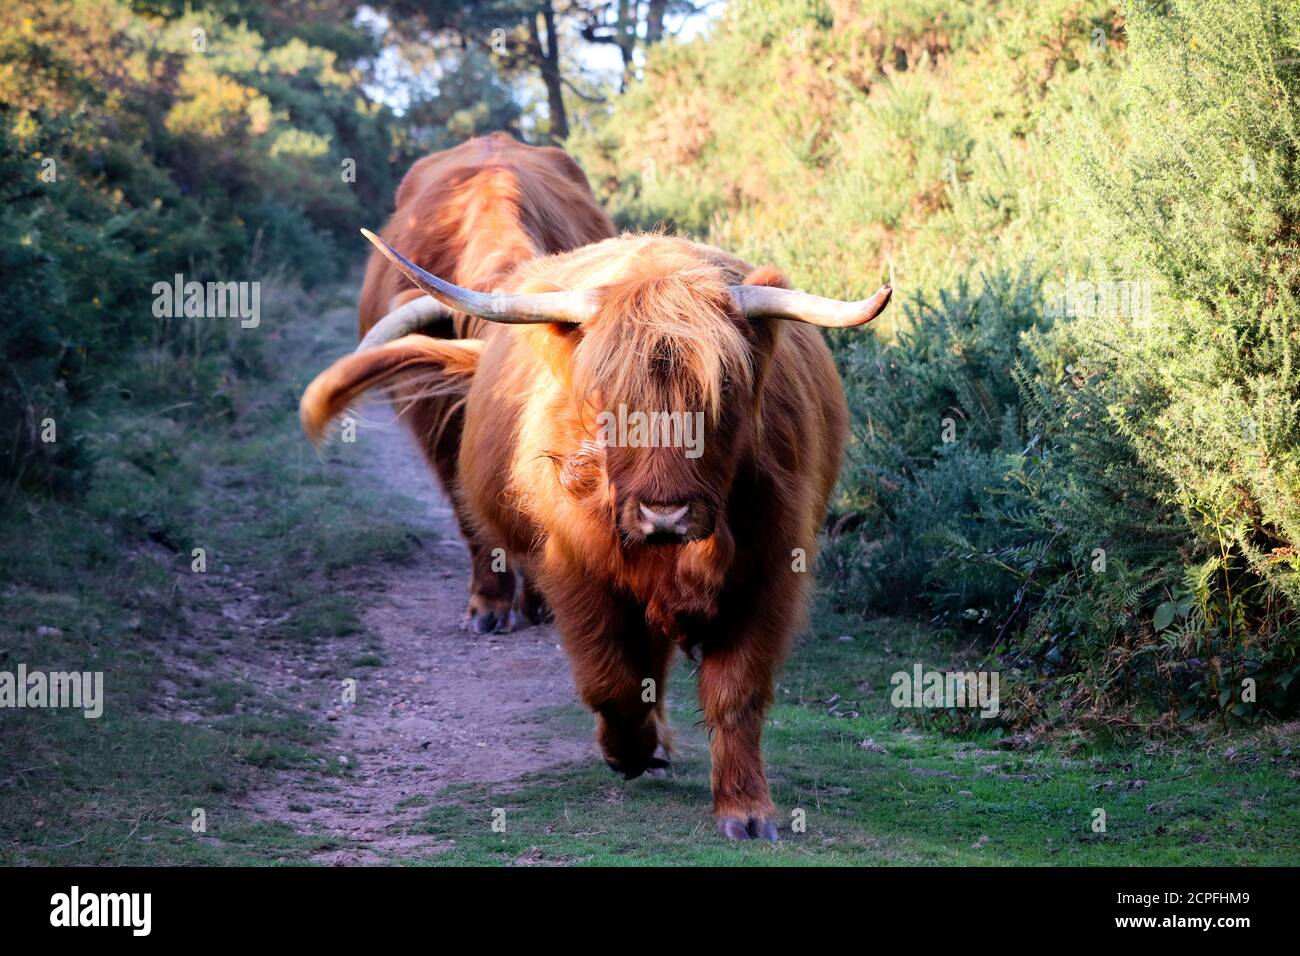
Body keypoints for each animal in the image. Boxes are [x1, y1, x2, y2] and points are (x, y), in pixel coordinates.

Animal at [300, 135, 891, 840]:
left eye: (721, 398)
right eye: (605, 401)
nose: (665, 515)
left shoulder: (771, 570)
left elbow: (736, 693)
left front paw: (747, 810)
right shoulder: (577, 566)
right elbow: (610, 676)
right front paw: (629, 752)